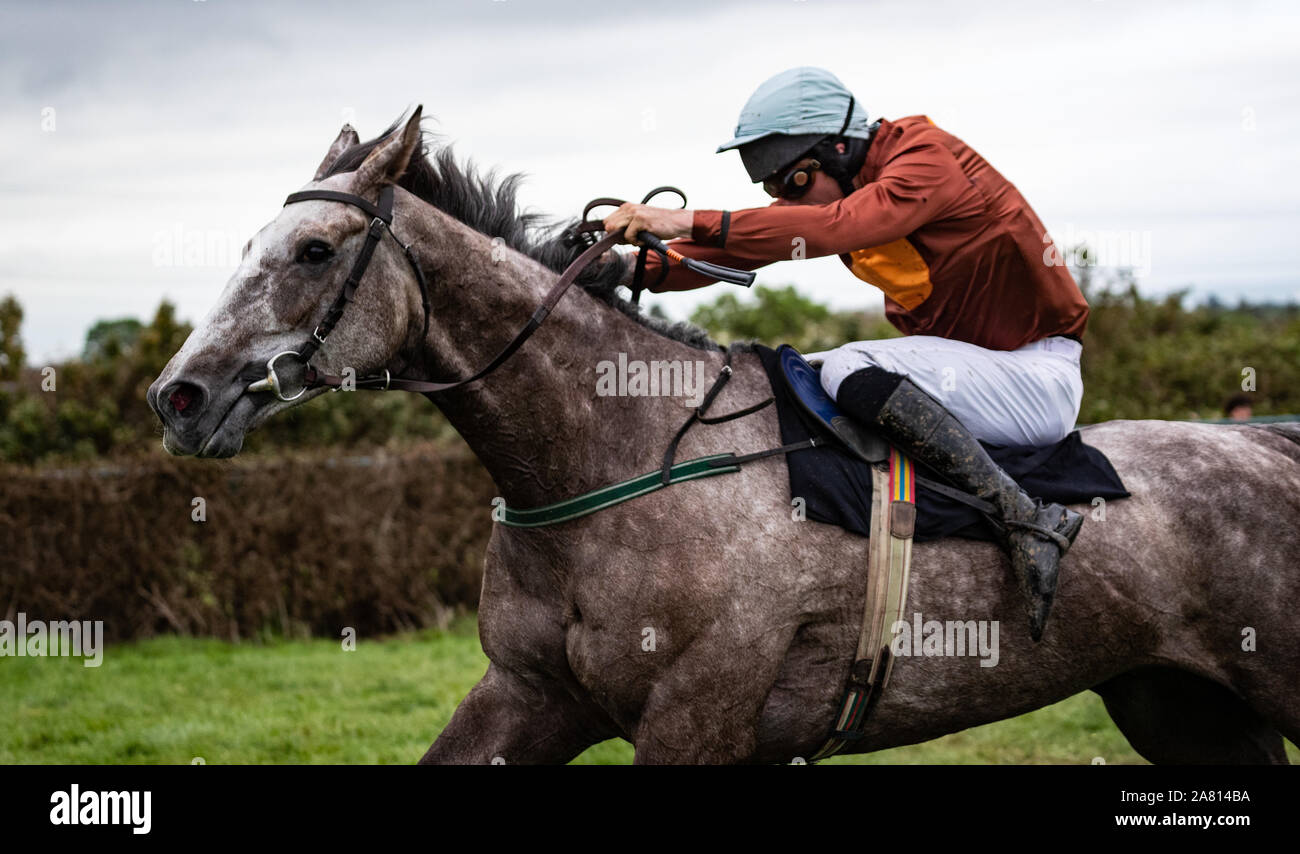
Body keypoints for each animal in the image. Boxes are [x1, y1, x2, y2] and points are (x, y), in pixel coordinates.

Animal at [148, 110, 1300, 764]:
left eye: (311, 249)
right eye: (251, 241)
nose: (178, 396)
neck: (613, 455)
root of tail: (1270, 445)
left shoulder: (695, 714)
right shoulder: (529, 693)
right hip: (1180, 703)